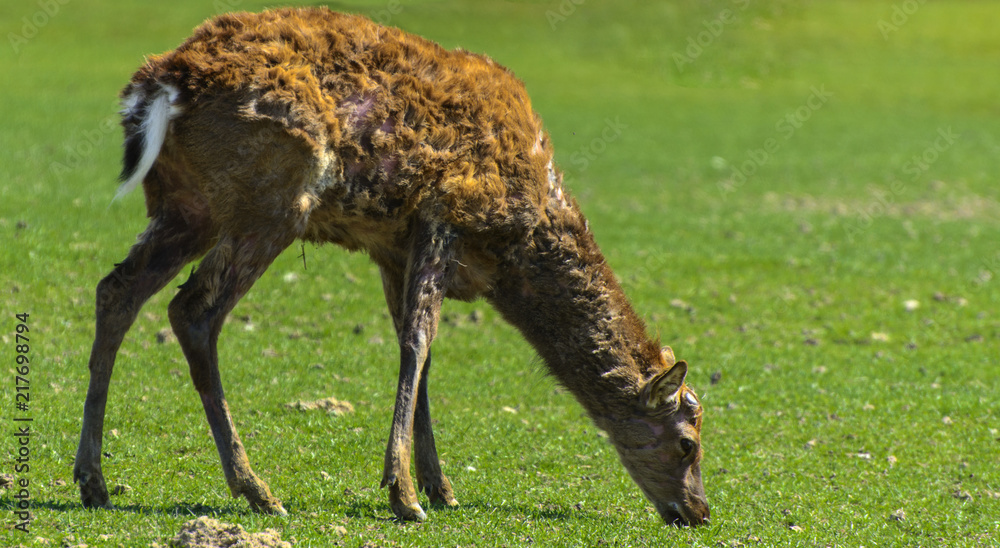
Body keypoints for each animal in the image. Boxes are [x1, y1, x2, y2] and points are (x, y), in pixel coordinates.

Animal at [73, 7, 710, 527]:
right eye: (689, 443)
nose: (699, 511)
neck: (518, 248)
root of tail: (158, 86)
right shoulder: (444, 214)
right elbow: (417, 343)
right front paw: (404, 494)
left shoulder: (393, 247)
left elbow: (420, 355)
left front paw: (439, 487)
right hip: (275, 195)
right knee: (193, 309)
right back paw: (256, 490)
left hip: (188, 206)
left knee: (116, 289)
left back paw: (94, 482)